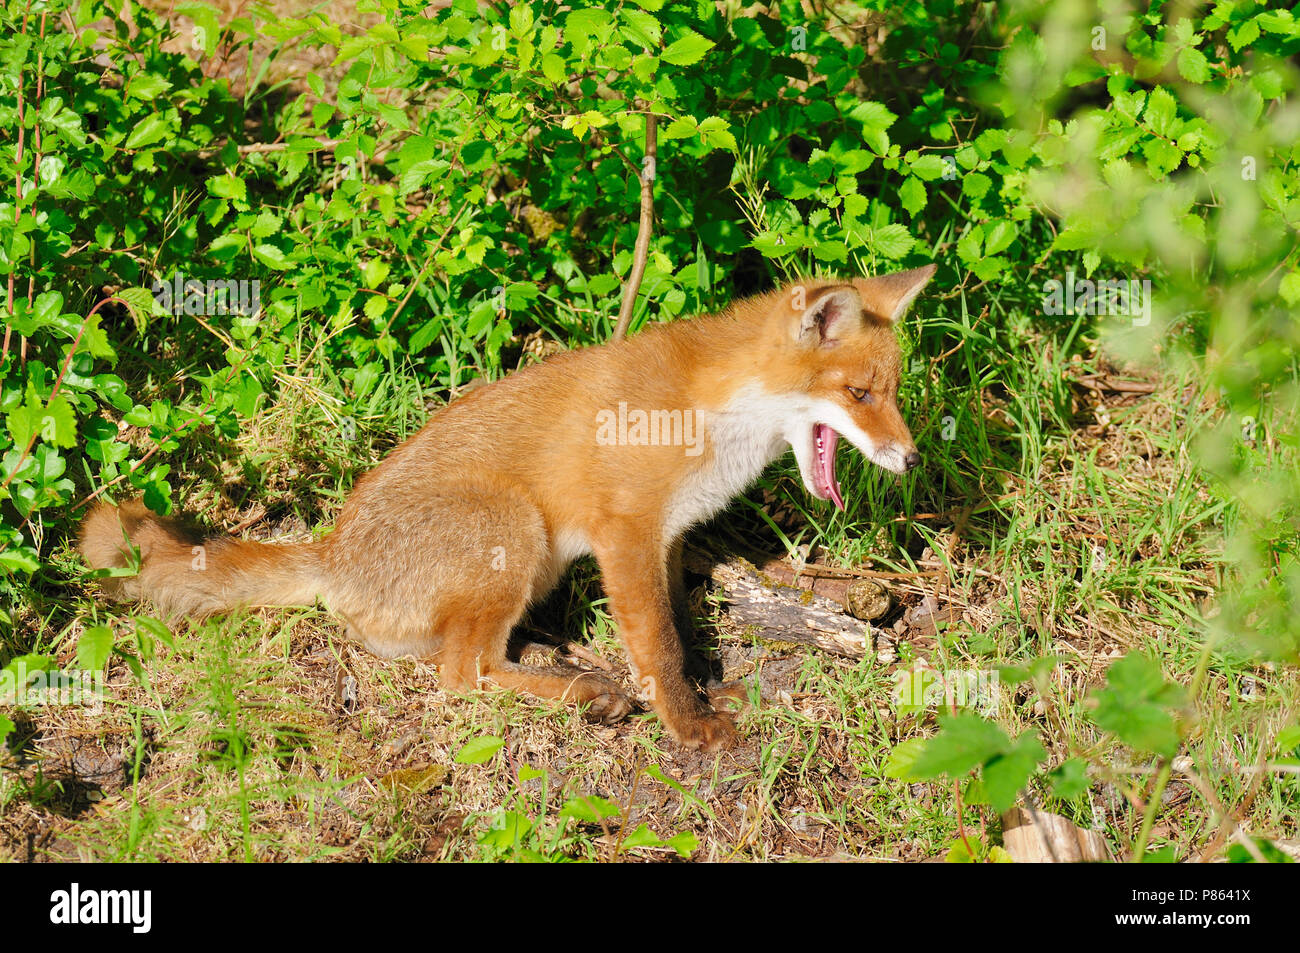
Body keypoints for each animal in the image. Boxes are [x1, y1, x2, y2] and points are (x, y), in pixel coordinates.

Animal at [79, 264, 935, 752]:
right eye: (860, 394)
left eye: (892, 392)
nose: (910, 457)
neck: (713, 408)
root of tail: (331, 552)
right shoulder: (625, 530)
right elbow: (657, 645)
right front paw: (688, 726)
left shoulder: (660, 539)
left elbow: (678, 634)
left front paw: (703, 688)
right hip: (514, 529)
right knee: (464, 674)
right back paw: (584, 692)